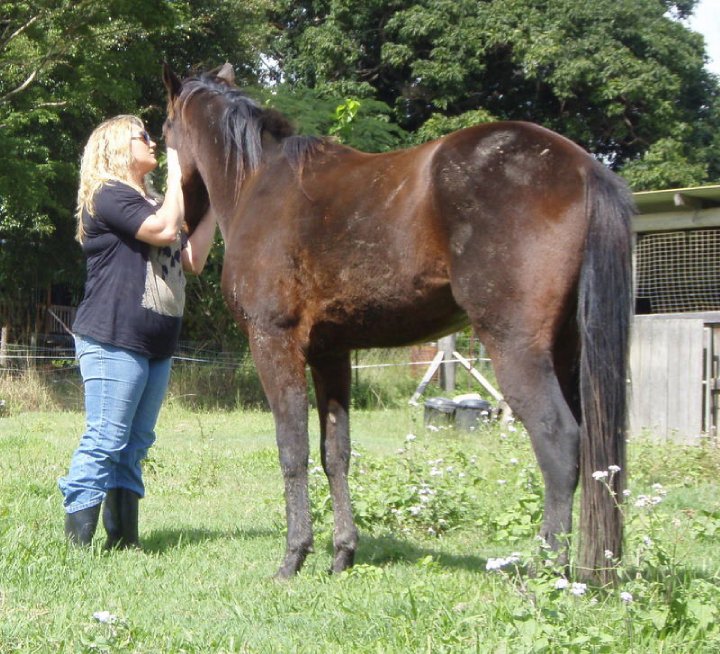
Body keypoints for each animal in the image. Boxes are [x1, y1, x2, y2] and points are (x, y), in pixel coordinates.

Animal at [162, 63, 634, 583]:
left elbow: (293, 450)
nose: (180, 219)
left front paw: (294, 556)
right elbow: (336, 453)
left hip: (516, 349)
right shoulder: (331, 353)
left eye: (163, 129)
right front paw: (342, 554)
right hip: (569, 352)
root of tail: (585, 166)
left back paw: (546, 571)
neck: (261, 183)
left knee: (559, 443)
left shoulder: (274, 342)